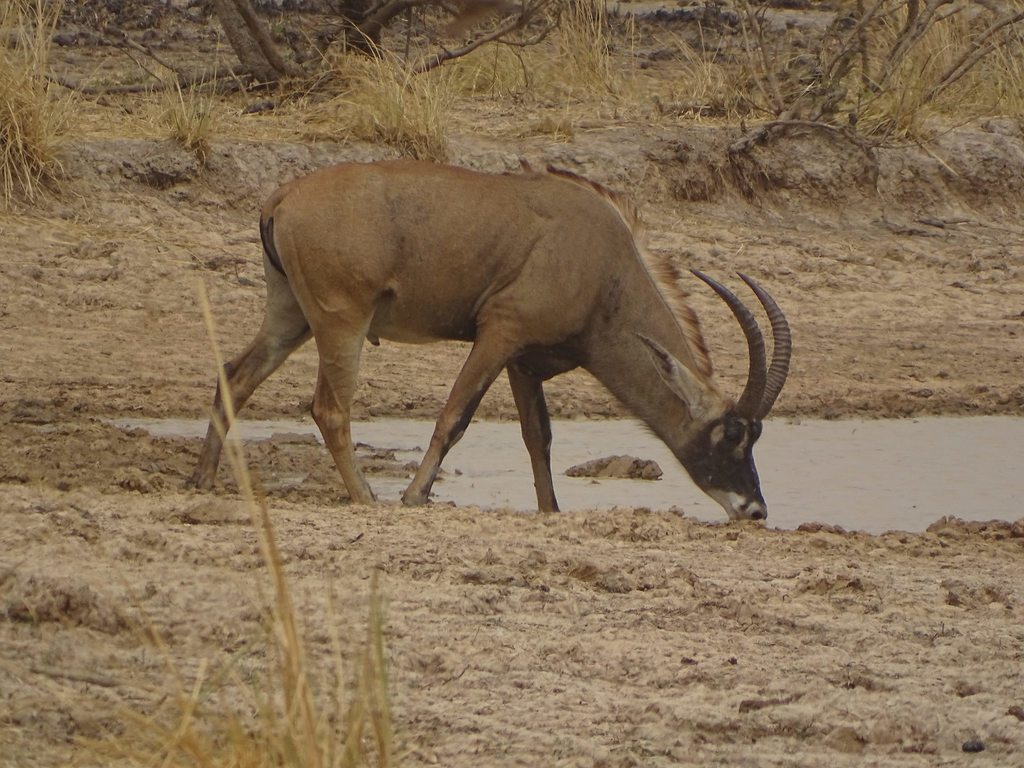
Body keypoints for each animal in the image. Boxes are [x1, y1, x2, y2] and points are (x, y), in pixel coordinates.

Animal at [189, 160, 791, 520]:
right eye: (733, 433)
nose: (755, 510)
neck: (604, 263)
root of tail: (283, 198)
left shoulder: (525, 362)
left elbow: (538, 437)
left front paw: (551, 510)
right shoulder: (500, 333)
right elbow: (455, 416)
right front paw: (414, 495)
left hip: (289, 315)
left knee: (234, 377)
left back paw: (203, 480)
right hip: (342, 322)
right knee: (329, 408)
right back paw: (366, 497)